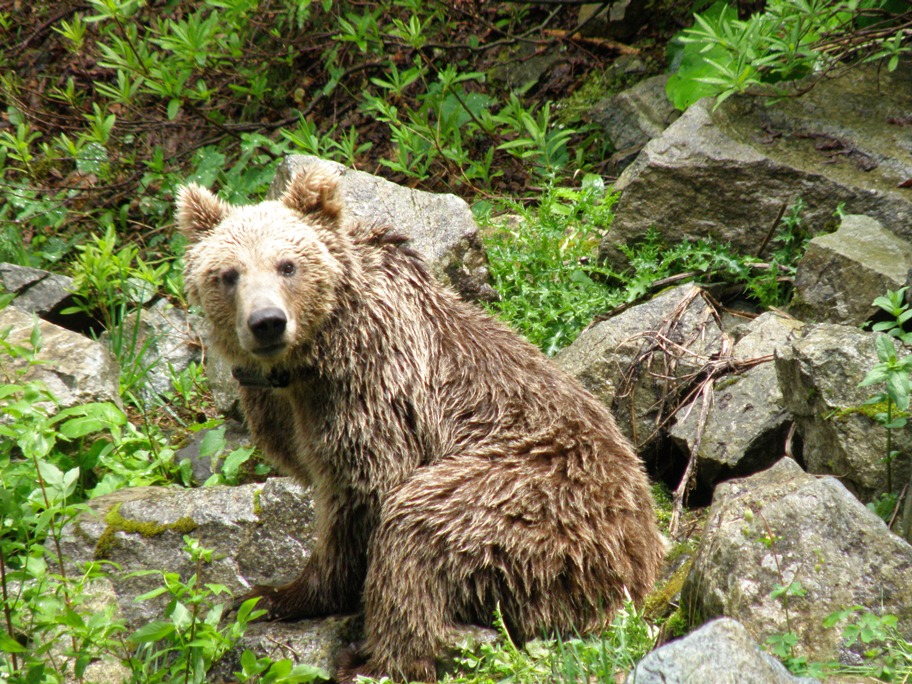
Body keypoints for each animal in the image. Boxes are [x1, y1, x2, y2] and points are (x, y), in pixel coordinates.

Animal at [176, 165, 665, 683]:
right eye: (228, 274)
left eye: (288, 265)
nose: (267, 321)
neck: (309, 360)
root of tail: (644, 553)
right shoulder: (279, 409)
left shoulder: (373, 385)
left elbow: (363, 495)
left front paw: (280, 594)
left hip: (544, 496)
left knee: (419, 523)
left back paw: (377, 659)